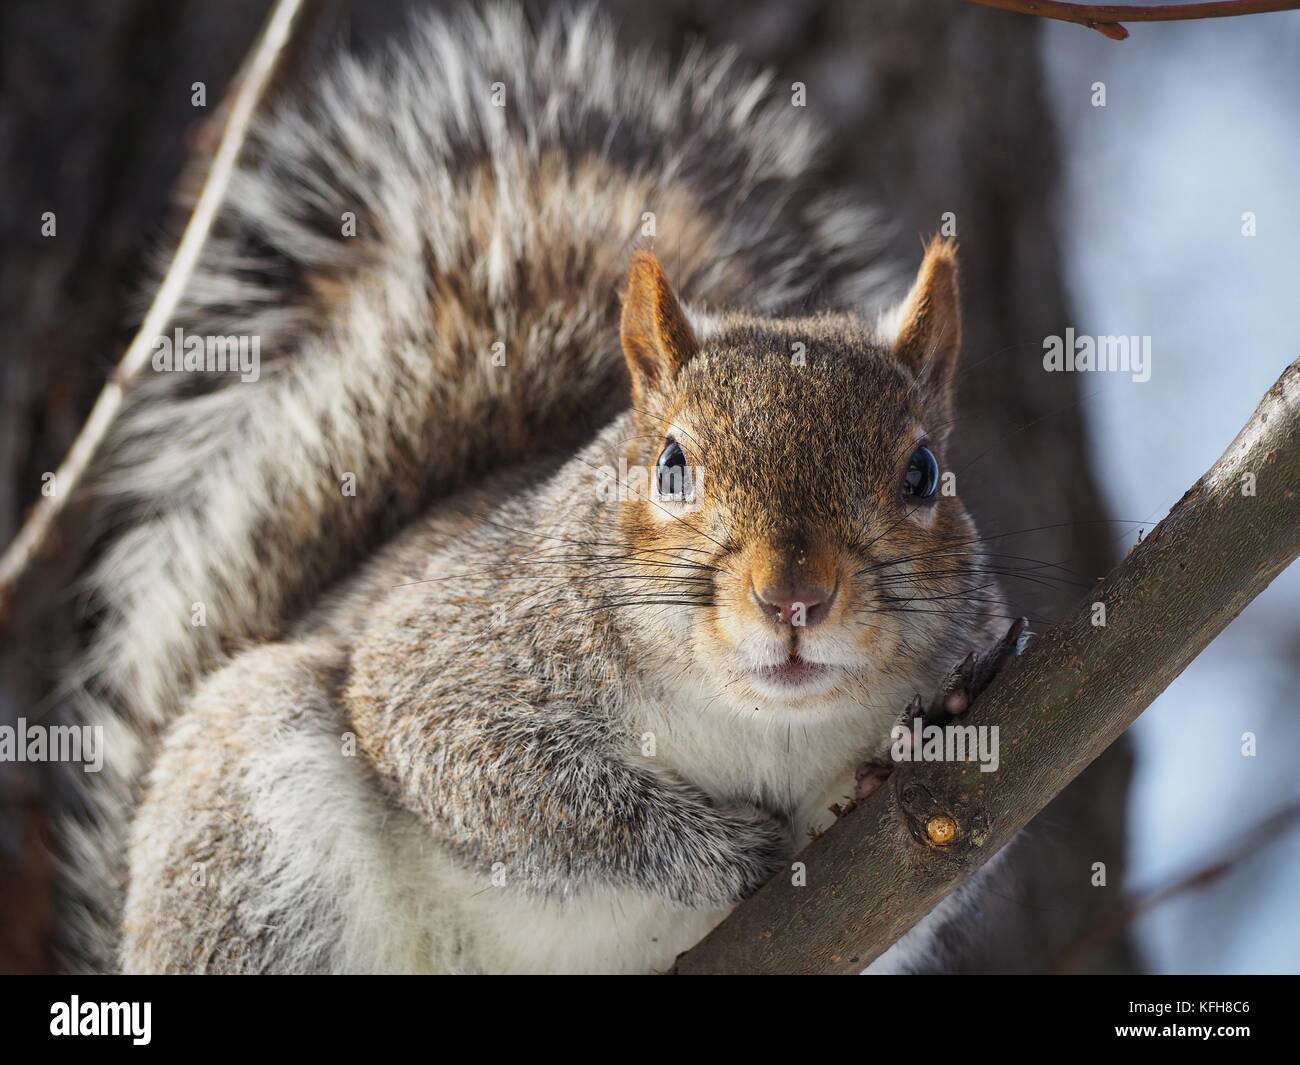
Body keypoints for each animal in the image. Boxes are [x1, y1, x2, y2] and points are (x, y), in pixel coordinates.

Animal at [62, 4, 1023, 974]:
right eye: (671, 464)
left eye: (924, 473)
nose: (795, 597)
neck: (761, 720)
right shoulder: (456, 659)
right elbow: (510, 784)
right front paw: (710, 848)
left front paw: (910, 739)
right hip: (245, 824)